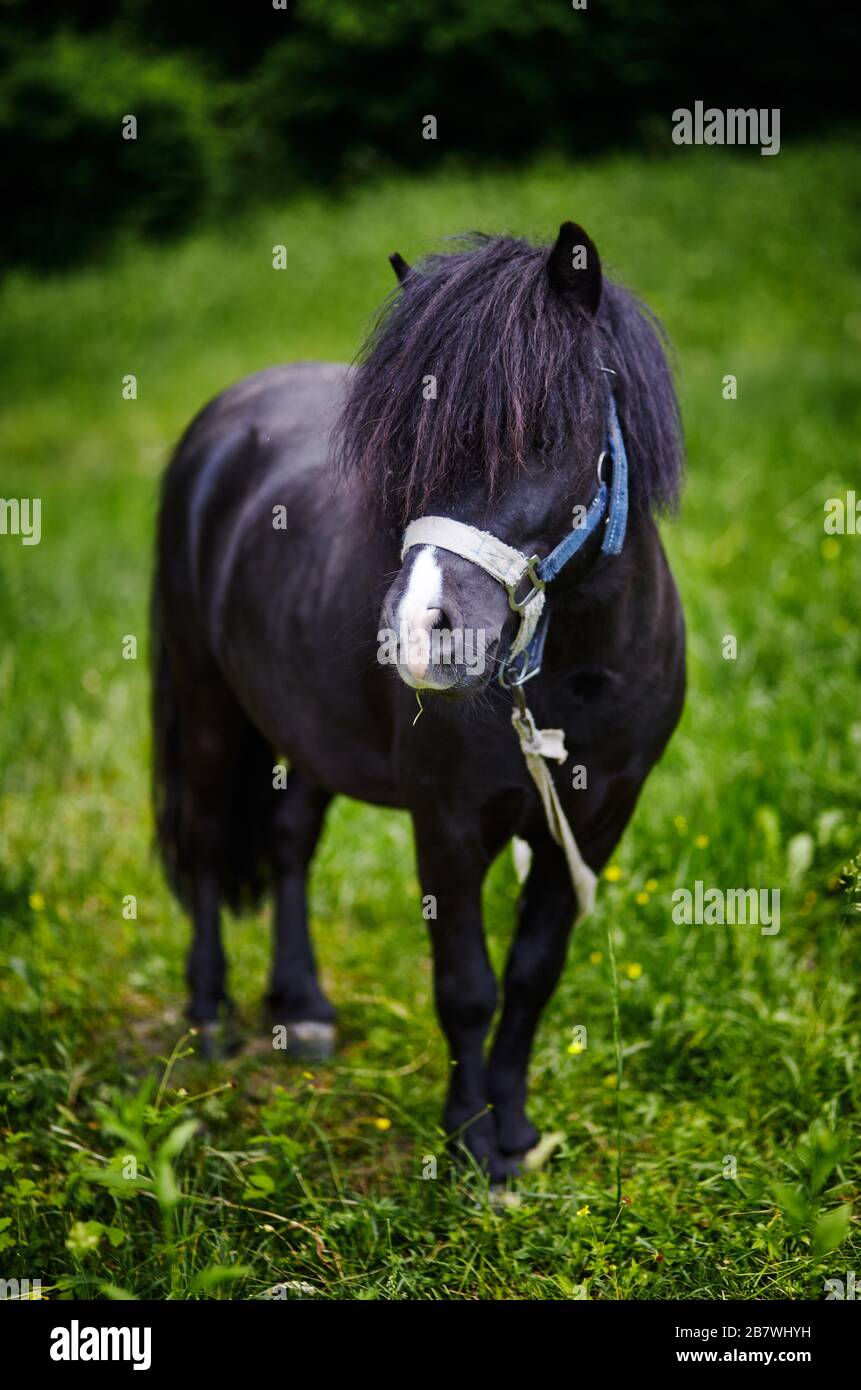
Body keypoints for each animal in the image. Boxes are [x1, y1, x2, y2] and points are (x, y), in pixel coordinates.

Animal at [151, 220, 685, 1182]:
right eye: (403, 451)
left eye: (546, 432)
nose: (416, 633)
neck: (570, 676)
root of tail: (224, 418)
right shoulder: (447, 820)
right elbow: (466, 986)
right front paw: (471, 1142)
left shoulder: (595, 820)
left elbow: (531, 975)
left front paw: (516, 1133)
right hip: (207, 703)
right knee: (207, 847)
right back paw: (208, 1021)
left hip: (303, 727)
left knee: (288, 841)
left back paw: (303, 1007)